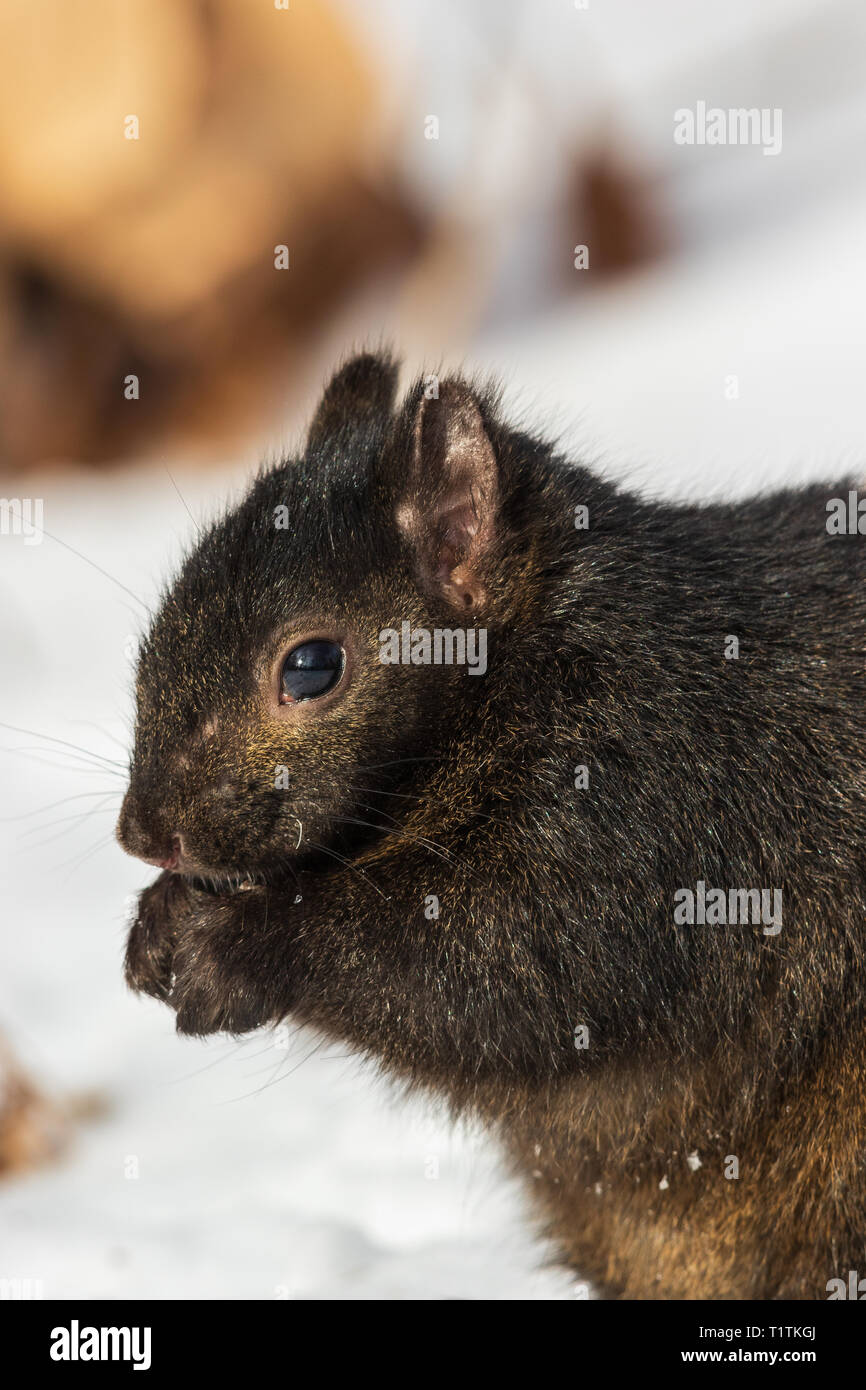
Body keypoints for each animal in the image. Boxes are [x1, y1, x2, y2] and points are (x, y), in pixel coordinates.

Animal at [118, 350, 866, 1300]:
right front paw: (155, 924)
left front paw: (233, 945)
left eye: (312, 666)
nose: (141, 834)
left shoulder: (654, 796)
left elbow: (515, 969)